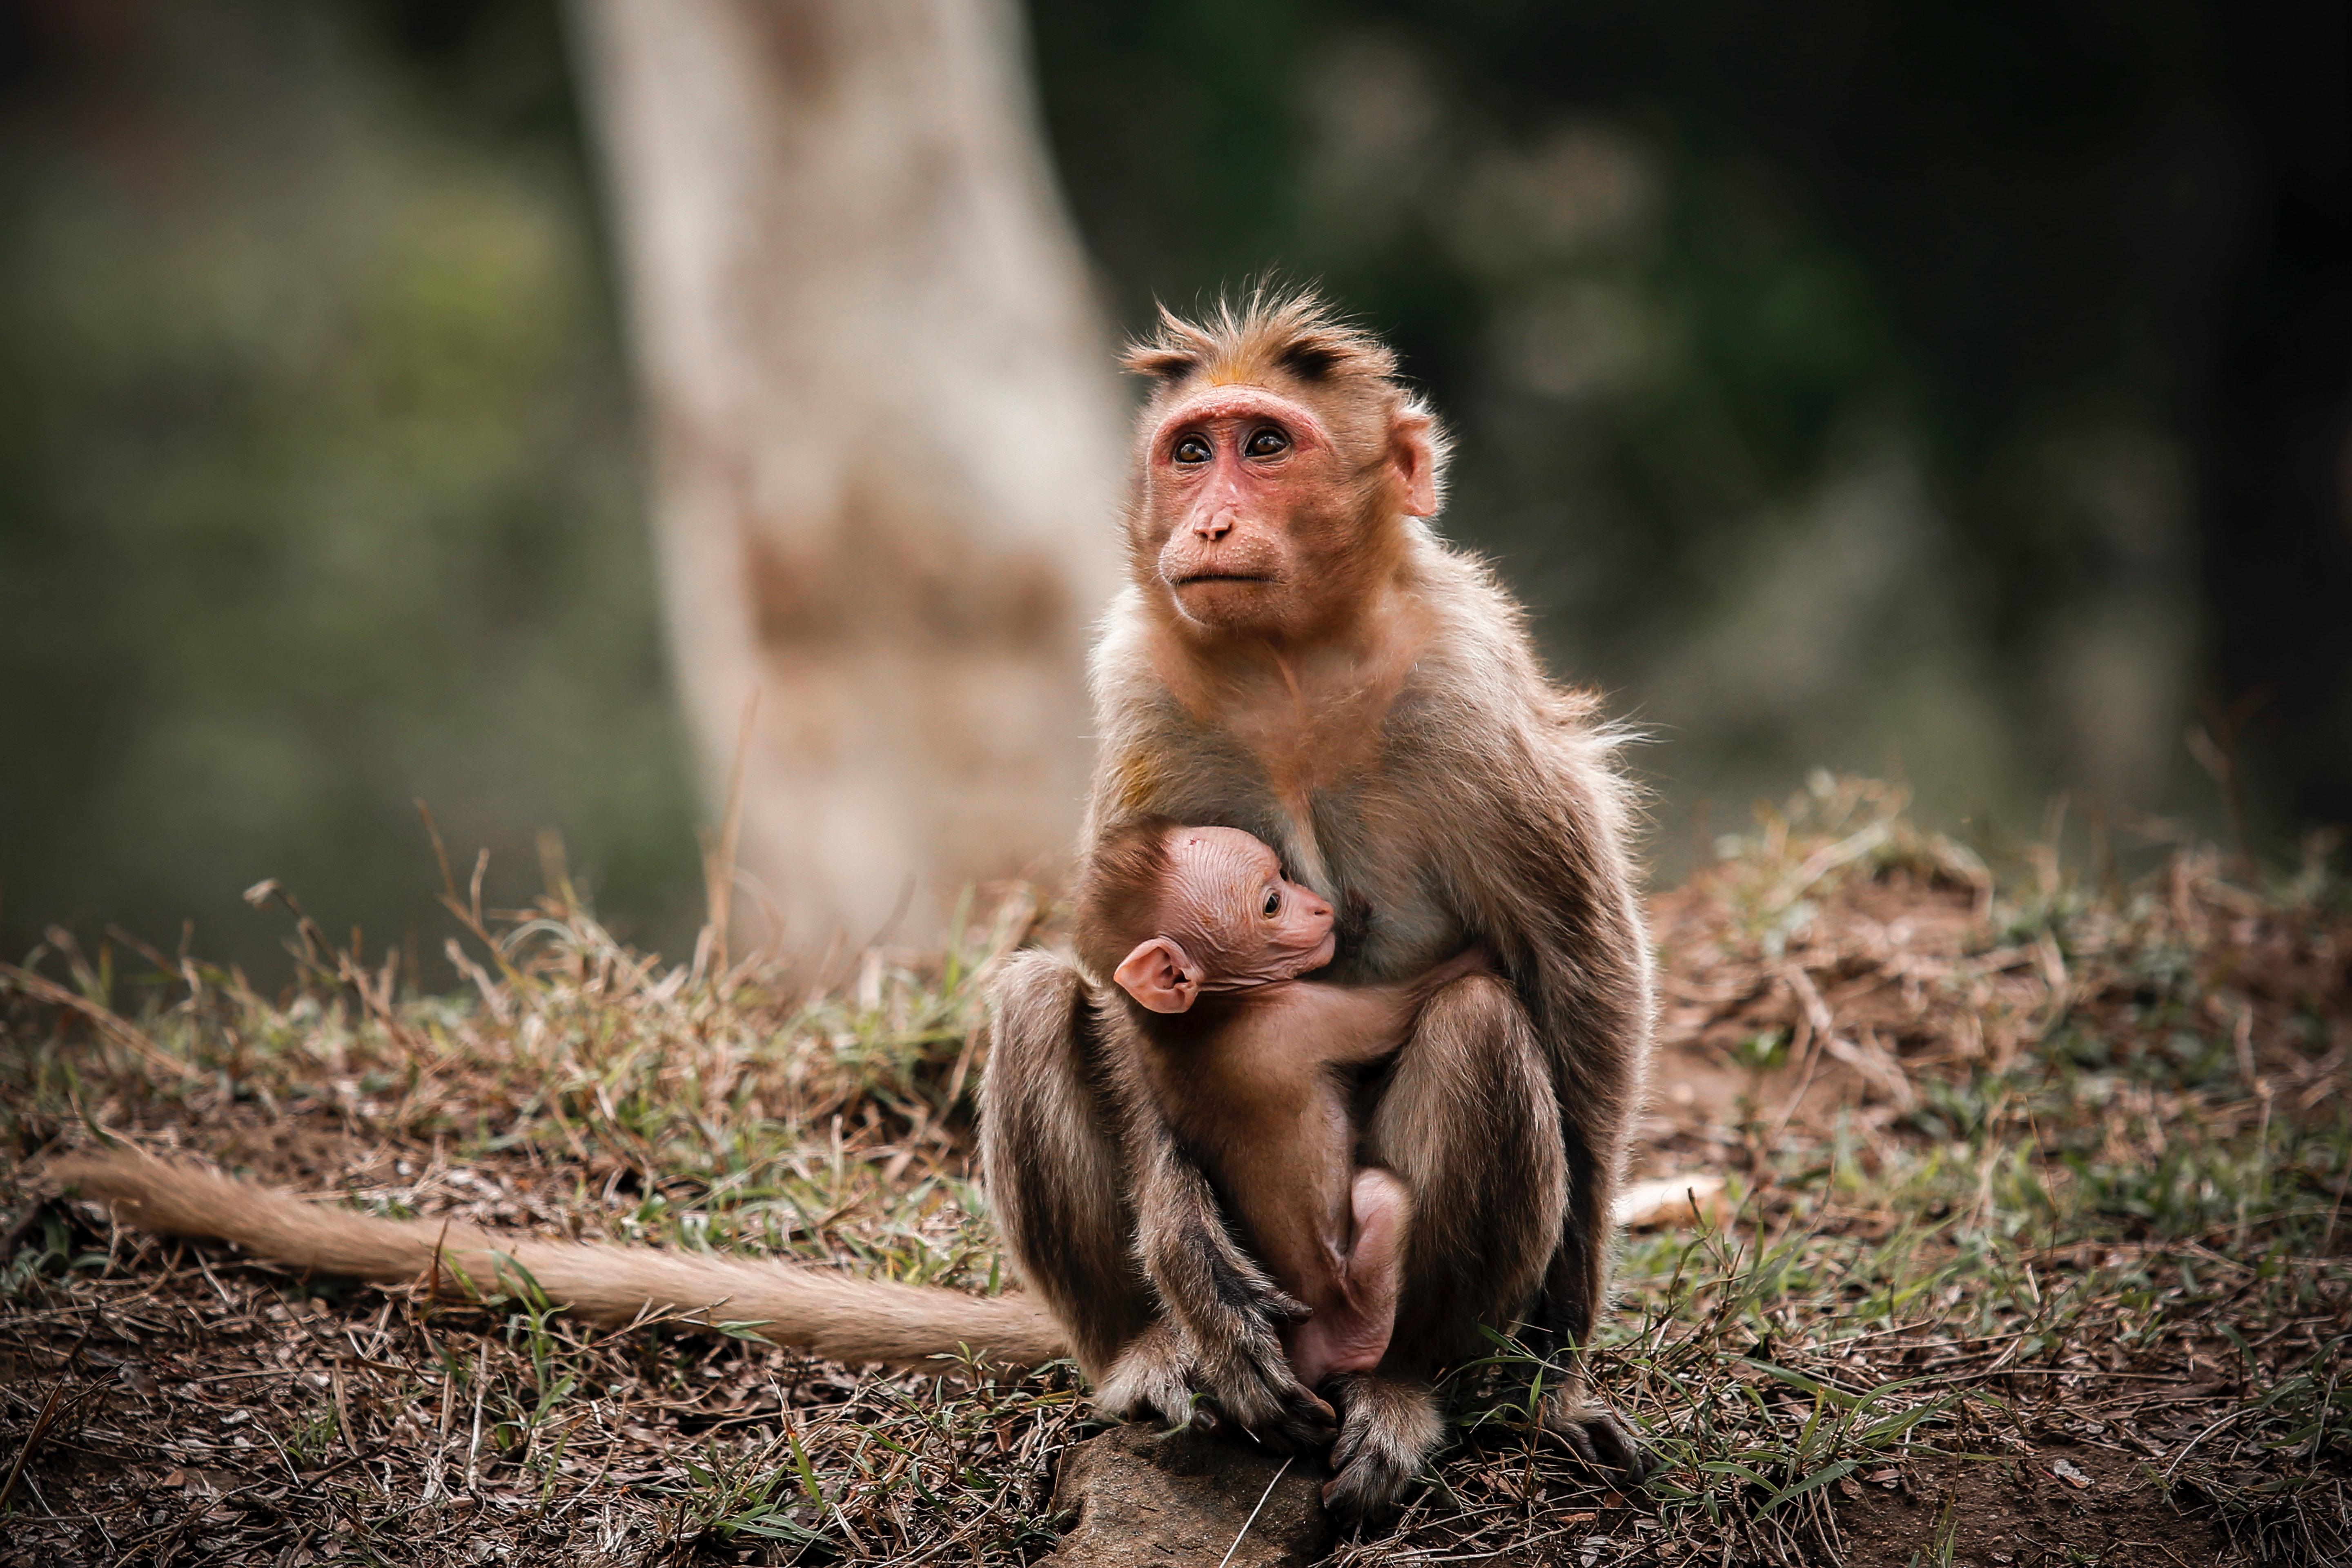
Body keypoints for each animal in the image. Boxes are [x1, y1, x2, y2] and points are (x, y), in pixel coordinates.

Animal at [1076, 816, 1495, 1390]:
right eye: (1273, 903)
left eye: (1284, 874)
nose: (1319, 908)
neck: (1212, 1007)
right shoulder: (1299, 1015)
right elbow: (1403, 1006)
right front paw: (1484, 950)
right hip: (1350, 1297)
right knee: (1381, 1196)